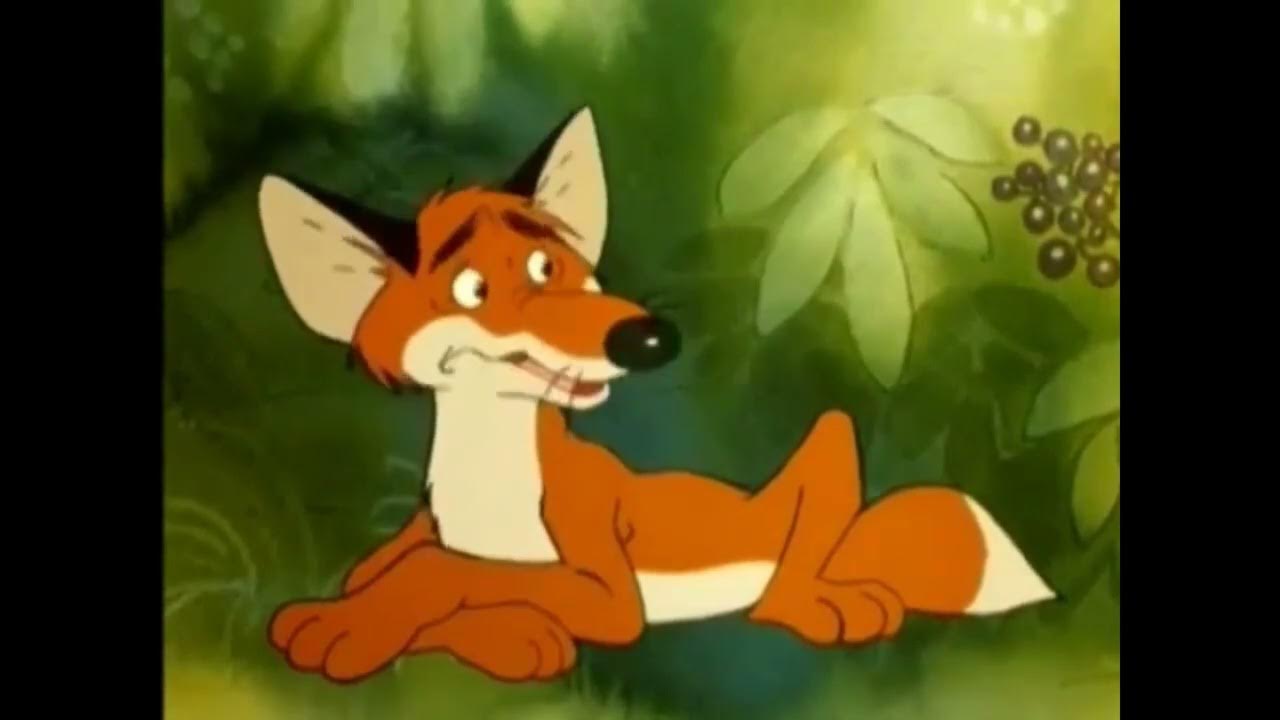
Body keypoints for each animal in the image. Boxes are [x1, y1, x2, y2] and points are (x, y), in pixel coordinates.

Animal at [256, 106, 1057, 685]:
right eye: (473, 291)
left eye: (553, 268)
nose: (647, 338)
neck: (487, 489)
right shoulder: (421, 539)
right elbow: (397, 576)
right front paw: (357, 623)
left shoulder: (610, 591)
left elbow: (450, 575)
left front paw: (374, 629)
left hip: (826, 448)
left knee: (783, 594)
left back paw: (822, 604)